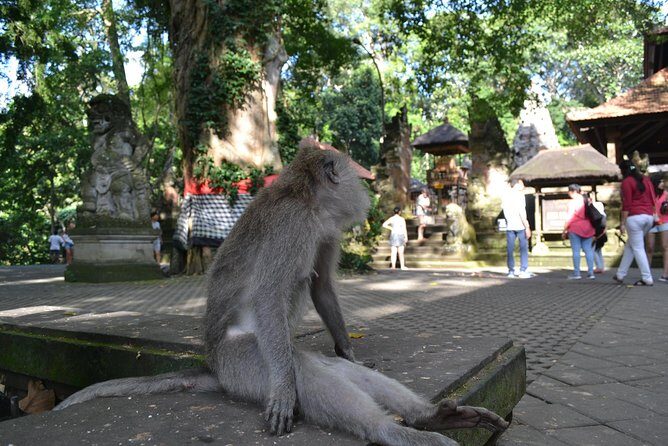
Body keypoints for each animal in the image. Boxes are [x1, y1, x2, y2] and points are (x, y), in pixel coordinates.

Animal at [56, 145, 509, 446]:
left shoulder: (325, 230)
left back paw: (430, 418)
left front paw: (349, 349)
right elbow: (269, 295)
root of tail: (213, 365)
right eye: (359, 175)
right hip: (245, 362)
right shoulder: (294, 226)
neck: (307, 201)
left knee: (332, 370)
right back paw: (392, 431)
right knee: (300, 373)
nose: (370, 191)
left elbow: (321, 287)